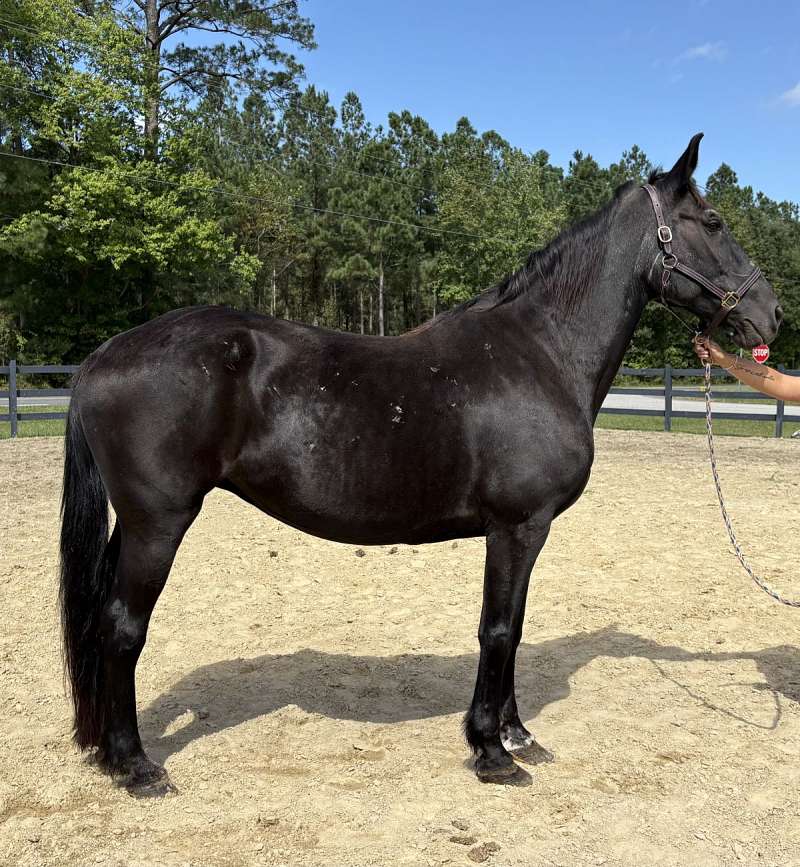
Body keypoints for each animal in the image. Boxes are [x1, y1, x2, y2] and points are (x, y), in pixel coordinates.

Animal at [58, 134, 782, 794]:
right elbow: (497, 629)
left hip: (135, 525)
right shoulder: (517, 526)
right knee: (122, 628)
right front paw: (492, 750)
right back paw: (135, 765)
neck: (543, 351)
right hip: (159, 524)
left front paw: (517, 733)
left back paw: (108, 751)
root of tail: (102, 357)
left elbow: (515, 626)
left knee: (100, 622)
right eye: (712, 221)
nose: (770, 312)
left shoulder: (523, 532)